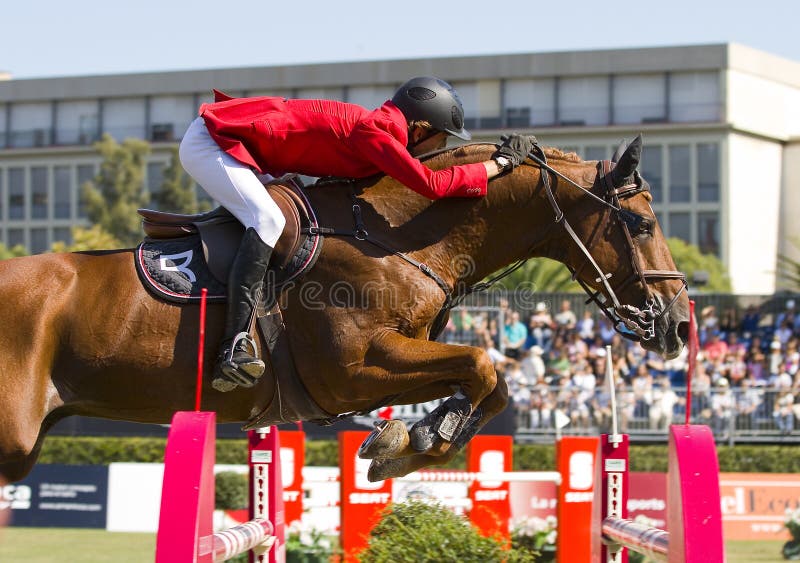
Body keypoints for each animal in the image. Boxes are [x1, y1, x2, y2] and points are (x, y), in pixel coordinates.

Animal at [0, 135, 688, 483]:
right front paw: (407, 440)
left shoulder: (392, 363)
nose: (680, 325)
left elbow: (488, 382)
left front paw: (417, 436)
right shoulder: (351, 371)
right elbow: (483, 363)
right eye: (643, 223)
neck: (393, 237)